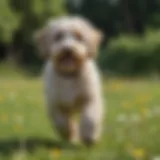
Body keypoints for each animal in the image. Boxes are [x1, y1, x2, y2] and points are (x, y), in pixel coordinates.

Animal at [35, 16, 104, 146]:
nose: (68, 49)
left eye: (78, 37)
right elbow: (61, 122)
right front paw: (70, 133)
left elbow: (90, 118)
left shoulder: (91, 99)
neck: (69, 75)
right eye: (58, 36)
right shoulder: (54, 104)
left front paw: (89, 137)